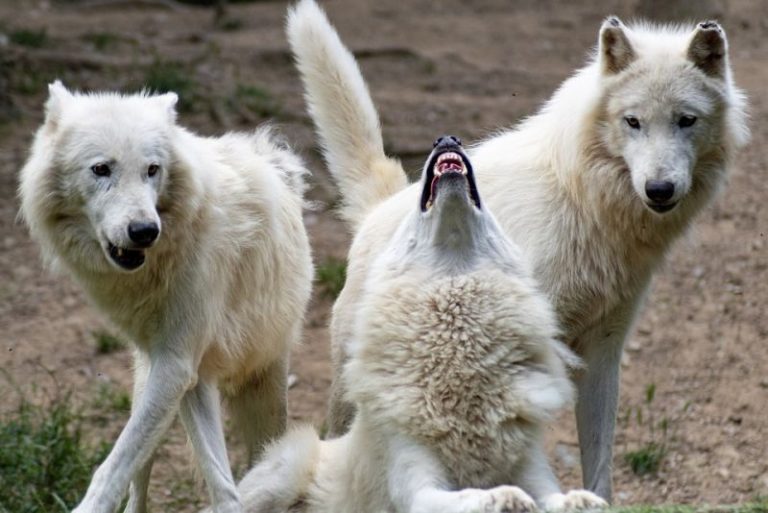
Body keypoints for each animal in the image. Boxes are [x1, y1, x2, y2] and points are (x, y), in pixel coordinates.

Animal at [18, 82, 313, 513]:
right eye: (101, 169)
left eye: (152, 169)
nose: (144, 230)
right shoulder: (180, 368)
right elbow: (202, 479)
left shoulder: (177, 363)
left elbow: (113, 470)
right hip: (159, 380)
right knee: (145, 480)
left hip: (262, 385)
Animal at [229, 135, 606, 513]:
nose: (447, 139)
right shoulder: (417, 486)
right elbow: (468, 495)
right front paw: (503, 496)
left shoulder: (534, 469)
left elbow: (556, 496)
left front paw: (582, 499)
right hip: (288, 468)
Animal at [288, 0, 749, 502]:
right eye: (633, 122)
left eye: (686, 120)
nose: (660, 189)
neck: (584, 203)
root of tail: (384, 205)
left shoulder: (604, 351)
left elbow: (600, 467)